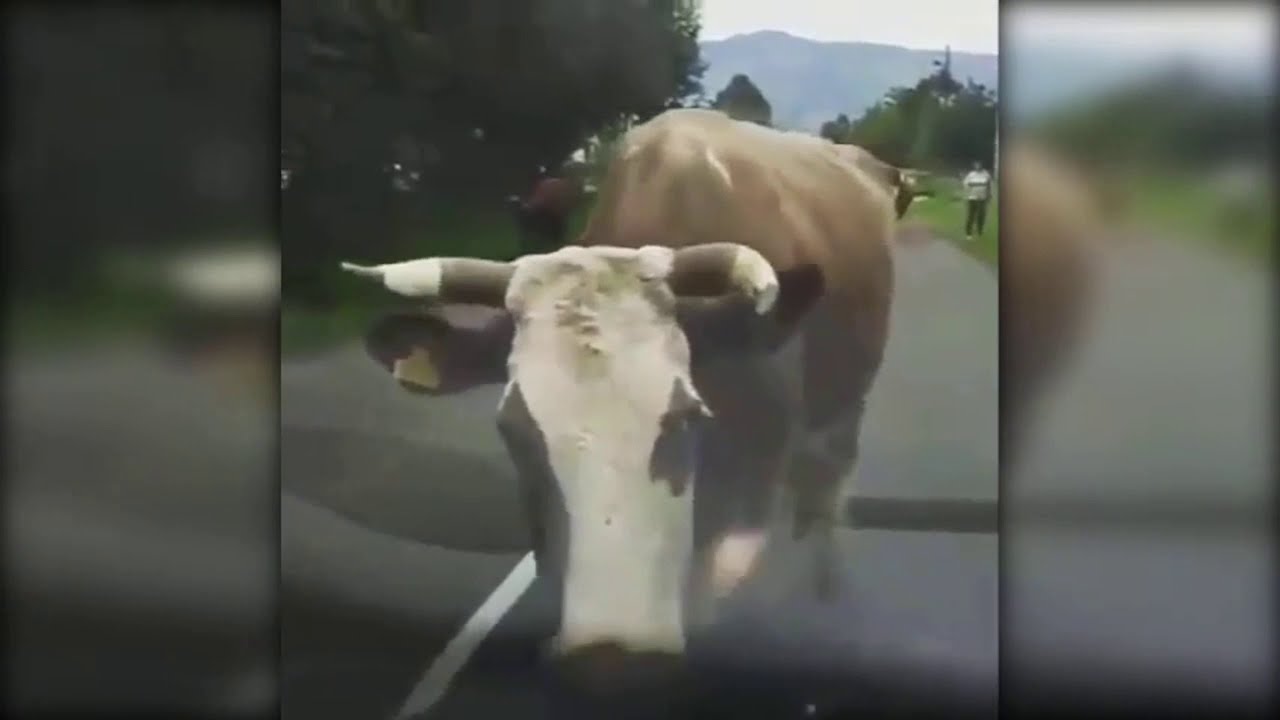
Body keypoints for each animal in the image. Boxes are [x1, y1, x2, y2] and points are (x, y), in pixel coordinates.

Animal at [340, 108, 899, 687]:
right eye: (510, 430)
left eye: (688, 416)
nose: (610, 654)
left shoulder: (750, 490)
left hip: (844, 410)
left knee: (827, 486)